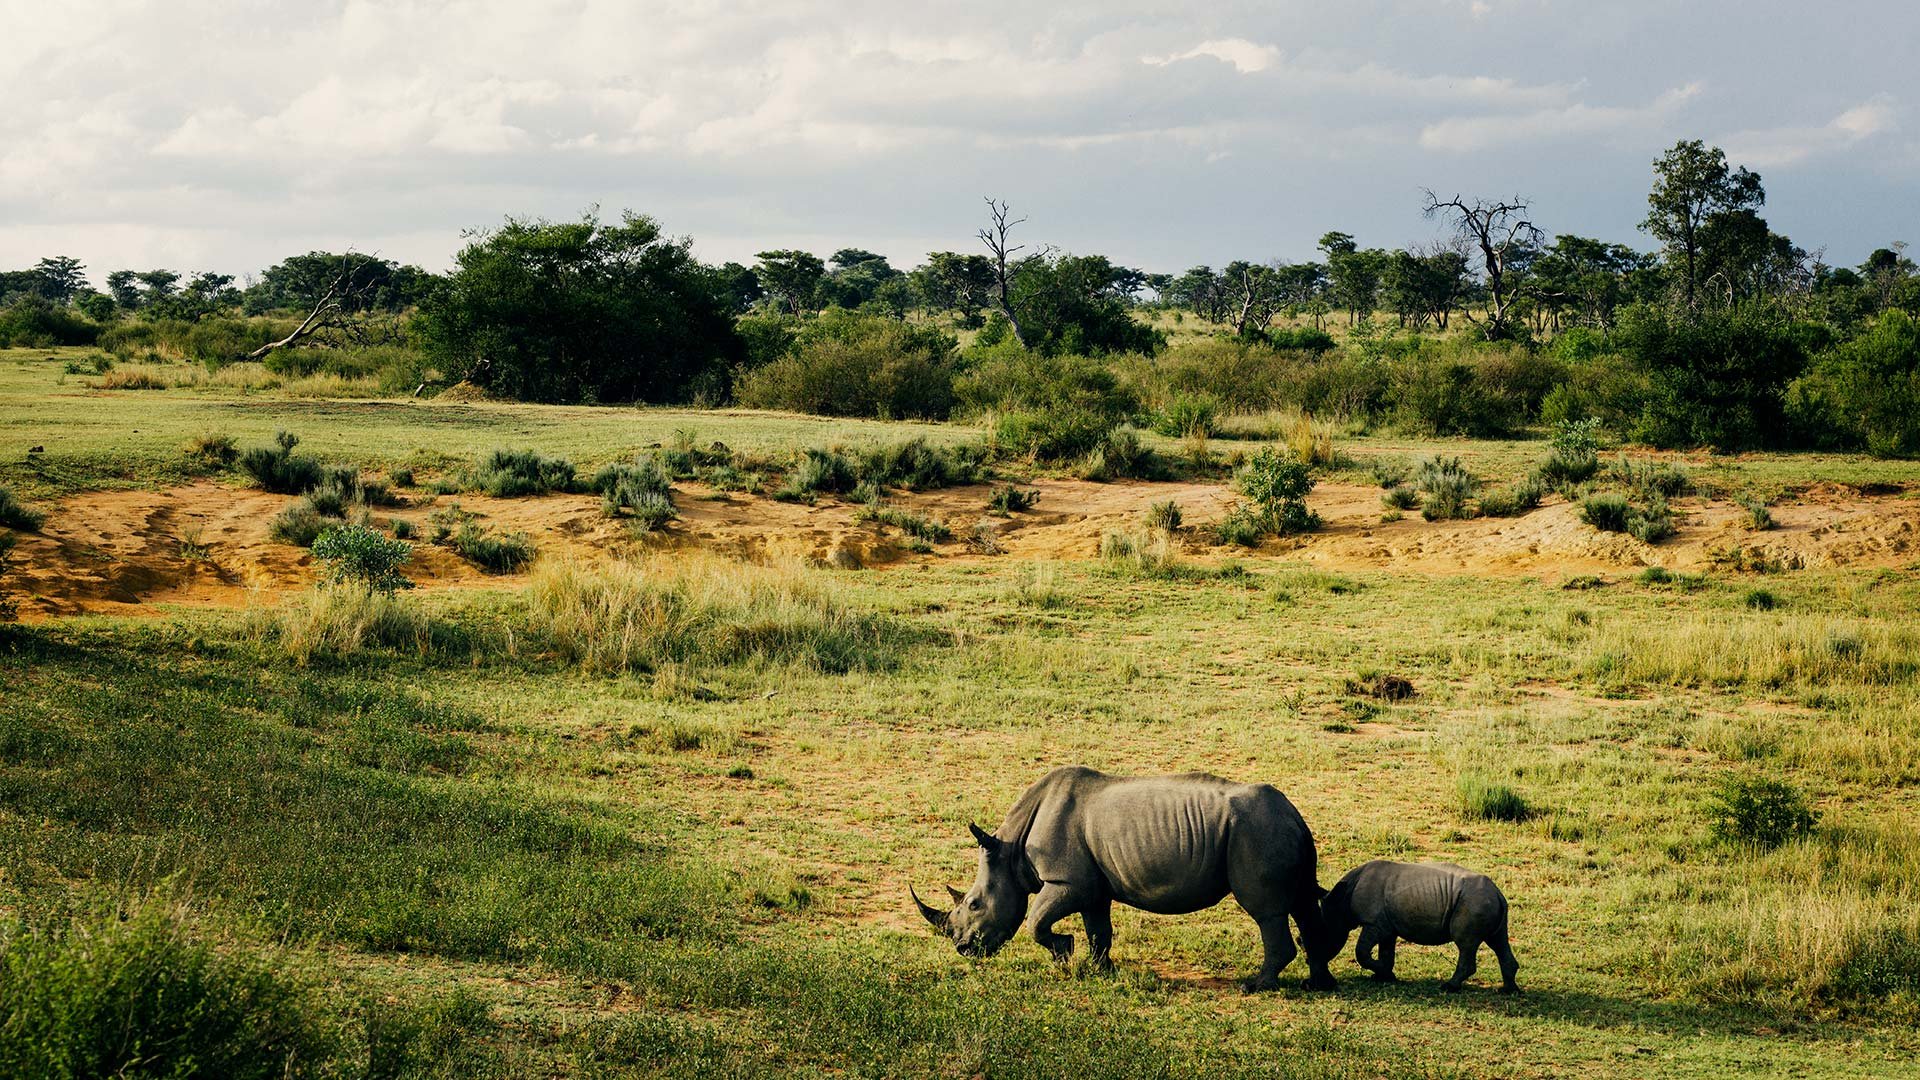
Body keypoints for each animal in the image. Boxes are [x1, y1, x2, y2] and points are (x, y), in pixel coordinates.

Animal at [911, 766, 1338, 991]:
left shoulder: (1065, 881)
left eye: (974, 904)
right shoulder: (1091, 886)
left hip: (1256, 830)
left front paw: (1064, 954)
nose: (963, 949)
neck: (1011, 849)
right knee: (1302, 903)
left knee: (1267, 912)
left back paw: (1253, 986)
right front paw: (1100, 969)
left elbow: (1035, 921)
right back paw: (1318, 985)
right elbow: (1099, 929)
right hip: (1274, 829)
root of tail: (1295, 815)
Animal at [1320, 860, 1519, 993]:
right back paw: (1508, 990)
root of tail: (1499, 894)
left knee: (1466, 945)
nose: (1318, 957)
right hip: (1484, 902)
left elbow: (1361, 952)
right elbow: (1386, 952)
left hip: (1474, 902)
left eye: (1326, 934)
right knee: (1498, 941)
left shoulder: (1373, 923)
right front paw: (1383, 977)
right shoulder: (1386, 927)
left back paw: (1448, 987)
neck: (1343, 899)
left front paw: (1384, 974)